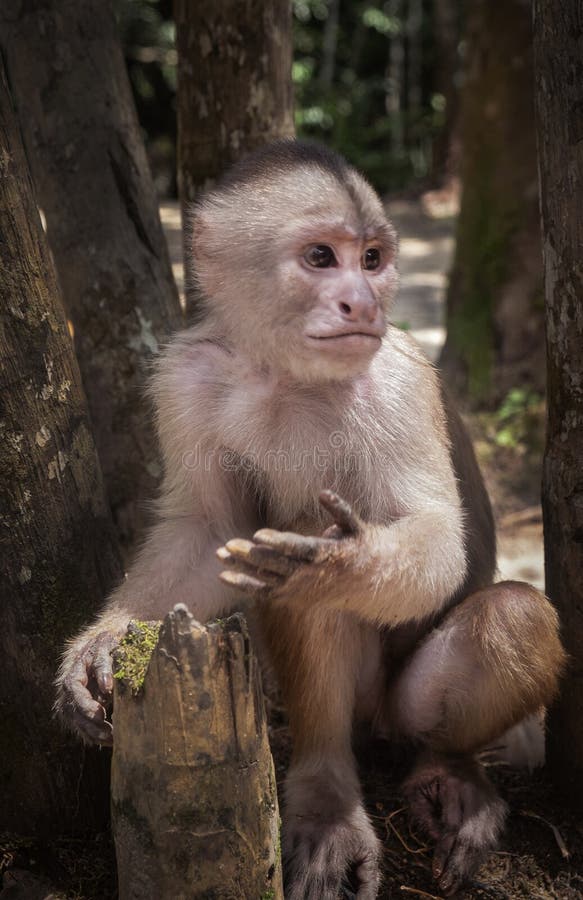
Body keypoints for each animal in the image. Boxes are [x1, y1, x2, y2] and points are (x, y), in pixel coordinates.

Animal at [55, 140, 565, 898]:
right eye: (322, 257)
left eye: (373, 258)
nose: (363, 300)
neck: (281, 371)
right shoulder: (185, 375)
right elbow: (207, 530)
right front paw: (105, 639)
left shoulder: (398, 381)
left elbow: (435, 539)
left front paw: (342, 562)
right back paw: (326, 789)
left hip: (402, 712)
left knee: (500, 619)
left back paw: (445, 771)